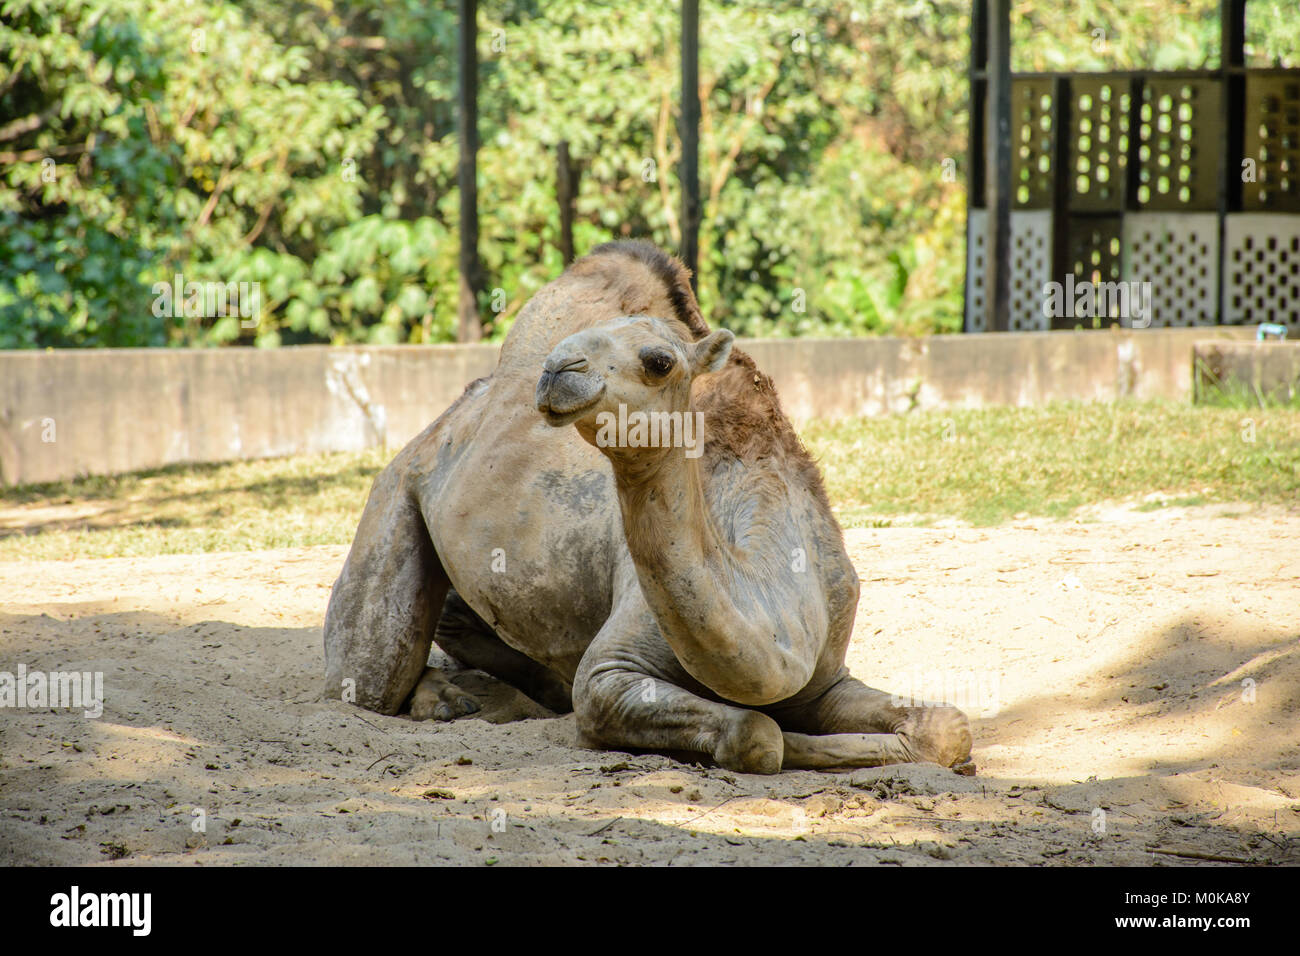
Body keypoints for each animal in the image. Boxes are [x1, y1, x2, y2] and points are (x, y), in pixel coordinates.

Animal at [323, 241, 973, 774]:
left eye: (659, 360)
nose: (557, 369)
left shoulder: (822, 673)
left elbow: (948, 727)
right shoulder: (611, 672)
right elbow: (757, 733)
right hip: (397, 489)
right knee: (369, 680)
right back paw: (452, 700)